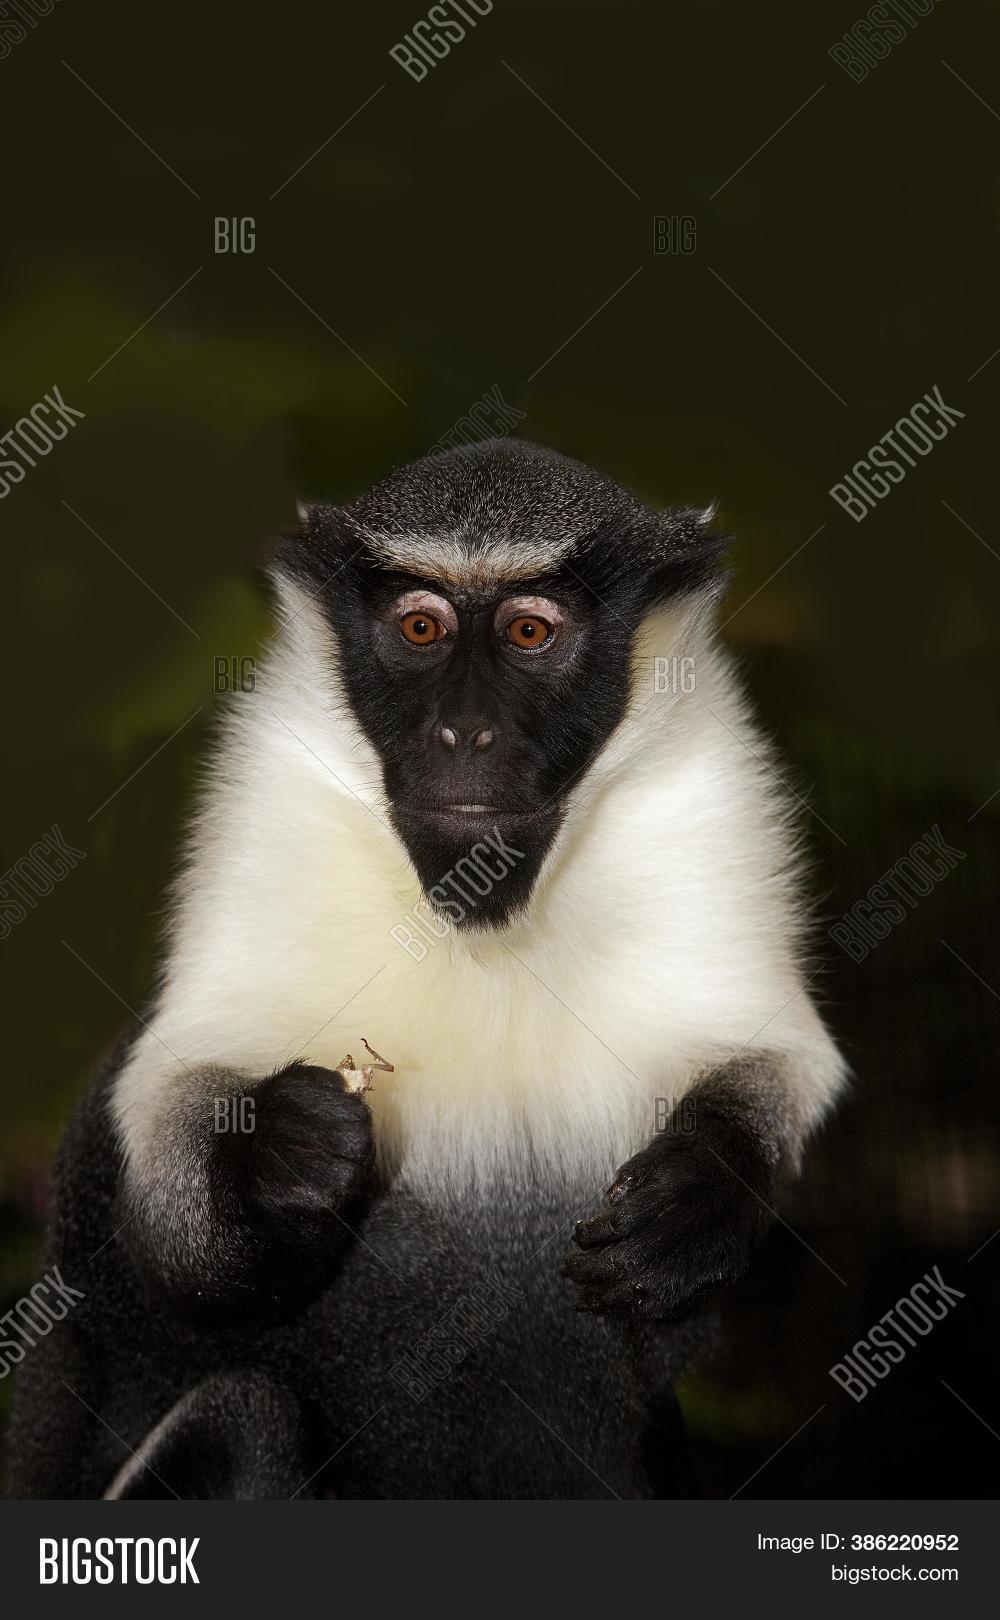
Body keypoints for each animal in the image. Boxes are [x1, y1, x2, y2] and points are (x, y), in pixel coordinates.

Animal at [5, 438, 846, 1500]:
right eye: (419, 627)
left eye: (529, 630)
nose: (464, 733)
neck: (484, 934)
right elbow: (175, 1223)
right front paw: (276, 1155)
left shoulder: (709, 806)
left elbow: (781, 1064)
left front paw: (709, 1181)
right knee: (246, 1414)